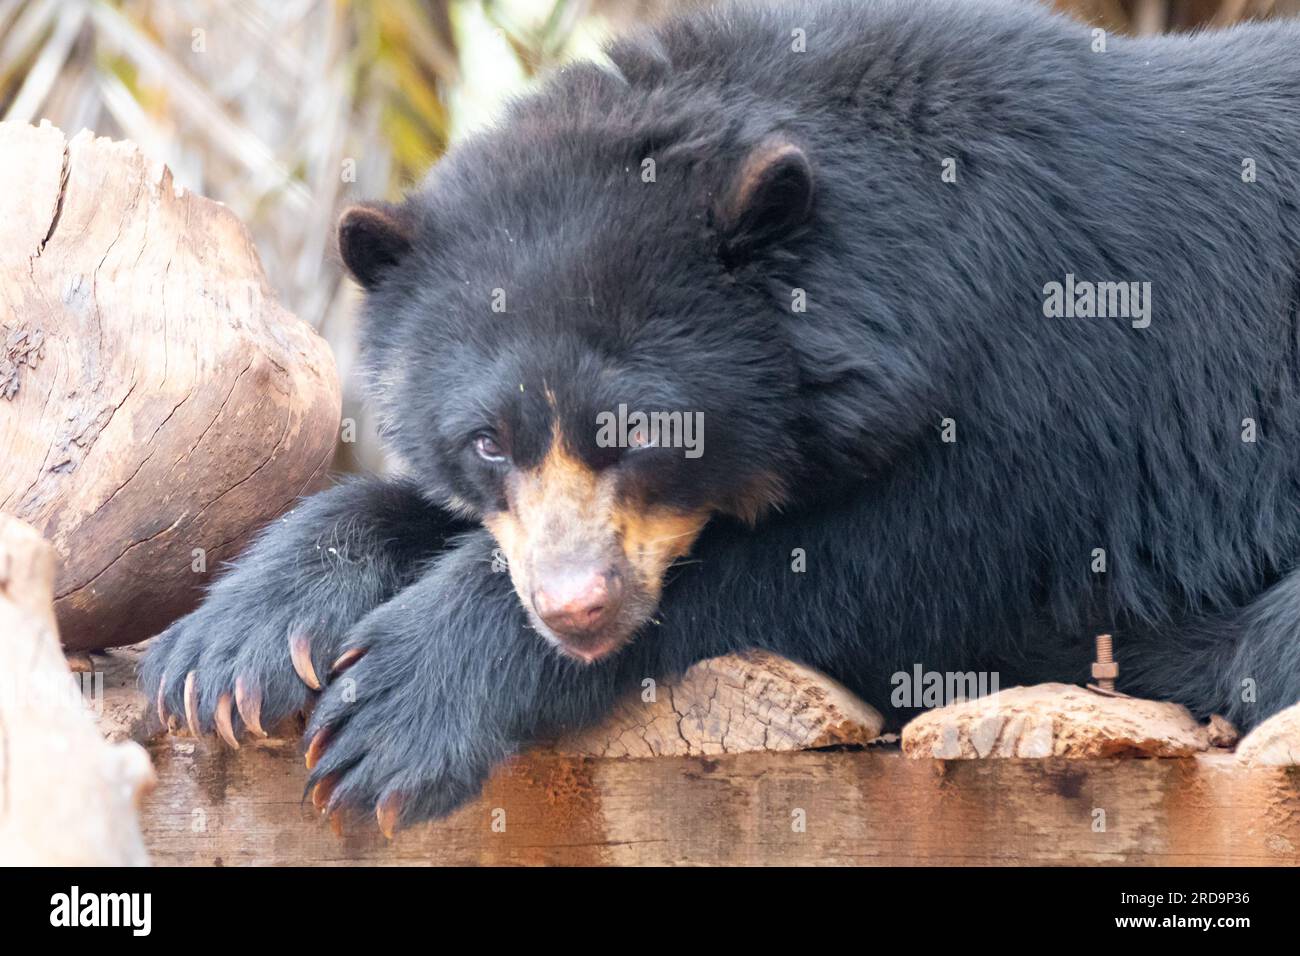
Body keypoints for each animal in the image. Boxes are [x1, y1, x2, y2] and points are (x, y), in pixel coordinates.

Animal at [143, 0, 1300, 832]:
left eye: (644, 435)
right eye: (485, 441)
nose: (574, 610)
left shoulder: (1042, 382)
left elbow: (910, 557)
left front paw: (388, 716)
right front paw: (224, 654)